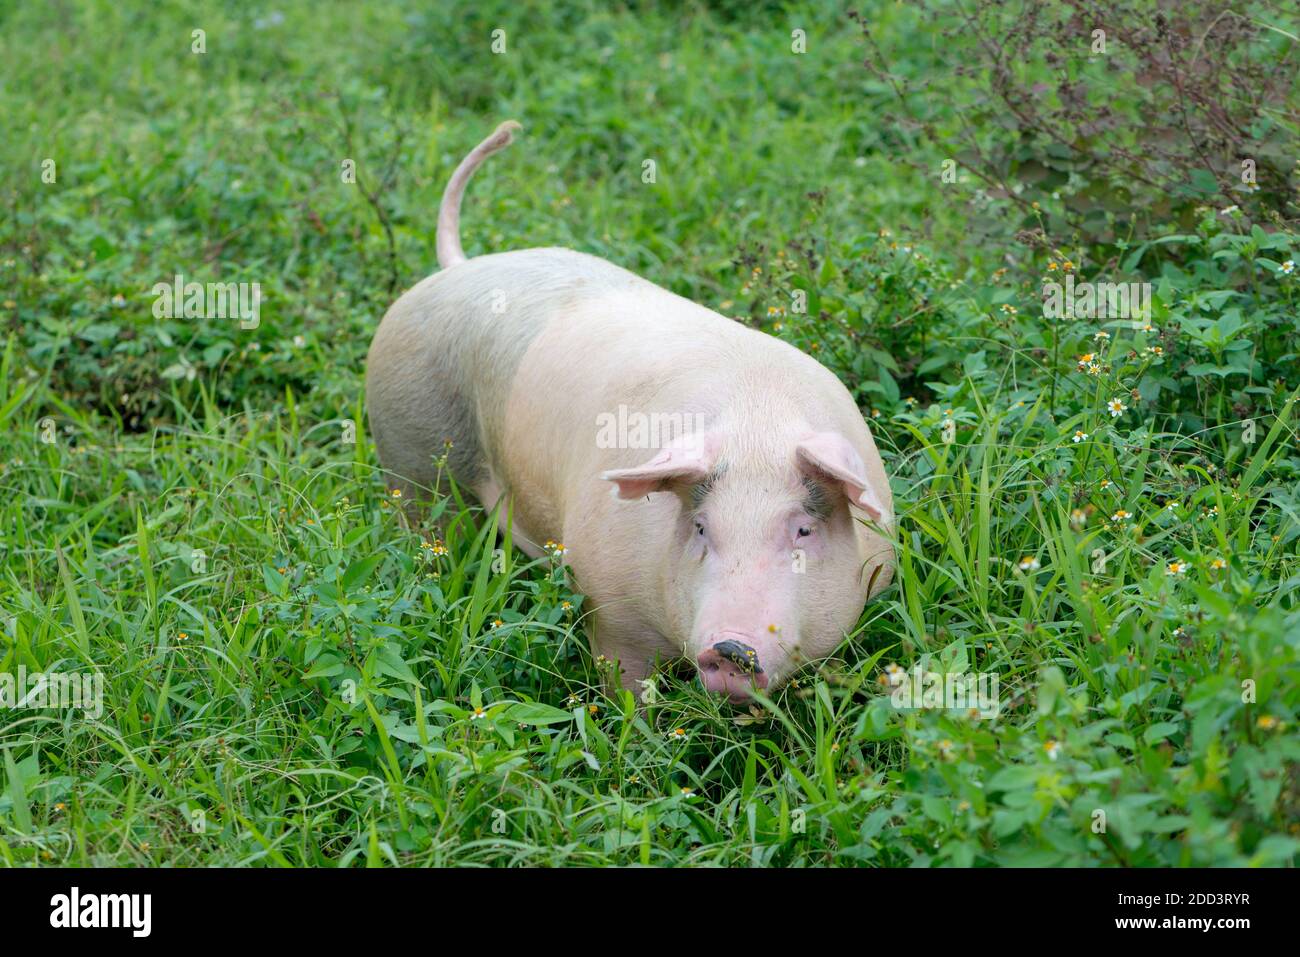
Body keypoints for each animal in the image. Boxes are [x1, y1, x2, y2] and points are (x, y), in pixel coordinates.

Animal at [366, 121, 894, 703]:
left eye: (802, 531)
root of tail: (457, 267)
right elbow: (626, 686)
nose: (732, 649)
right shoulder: (609, 603)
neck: (757, 425)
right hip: (408, 451)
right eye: (702, 528)